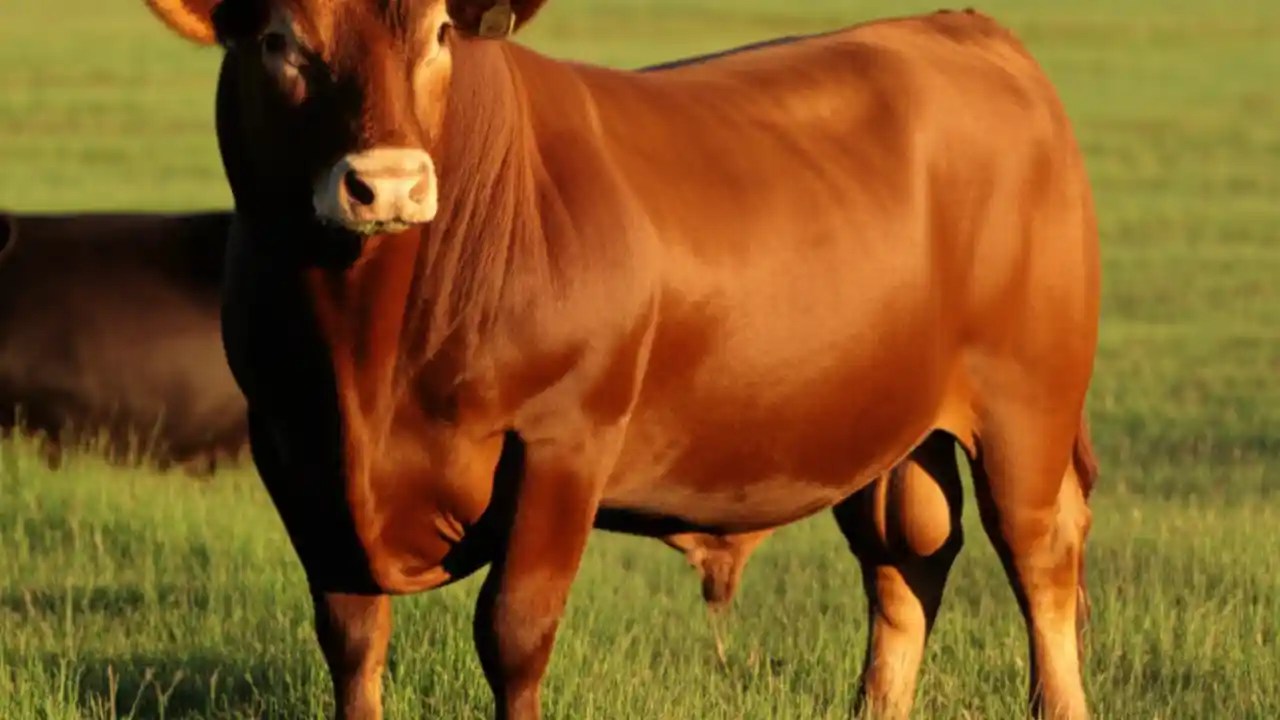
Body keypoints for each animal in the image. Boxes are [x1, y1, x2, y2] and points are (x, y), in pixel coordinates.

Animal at [142, 2, 1101, 719]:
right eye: (279, 39)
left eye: (441, 30)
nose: (389, 185)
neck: (365, 352)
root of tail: (966, 30)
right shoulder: (293, 448)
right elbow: (351, 636)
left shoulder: (564, 440)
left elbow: (515, 632)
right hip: (894, 427)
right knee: (905, 564)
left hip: (1028, 405)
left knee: (1039, 556)